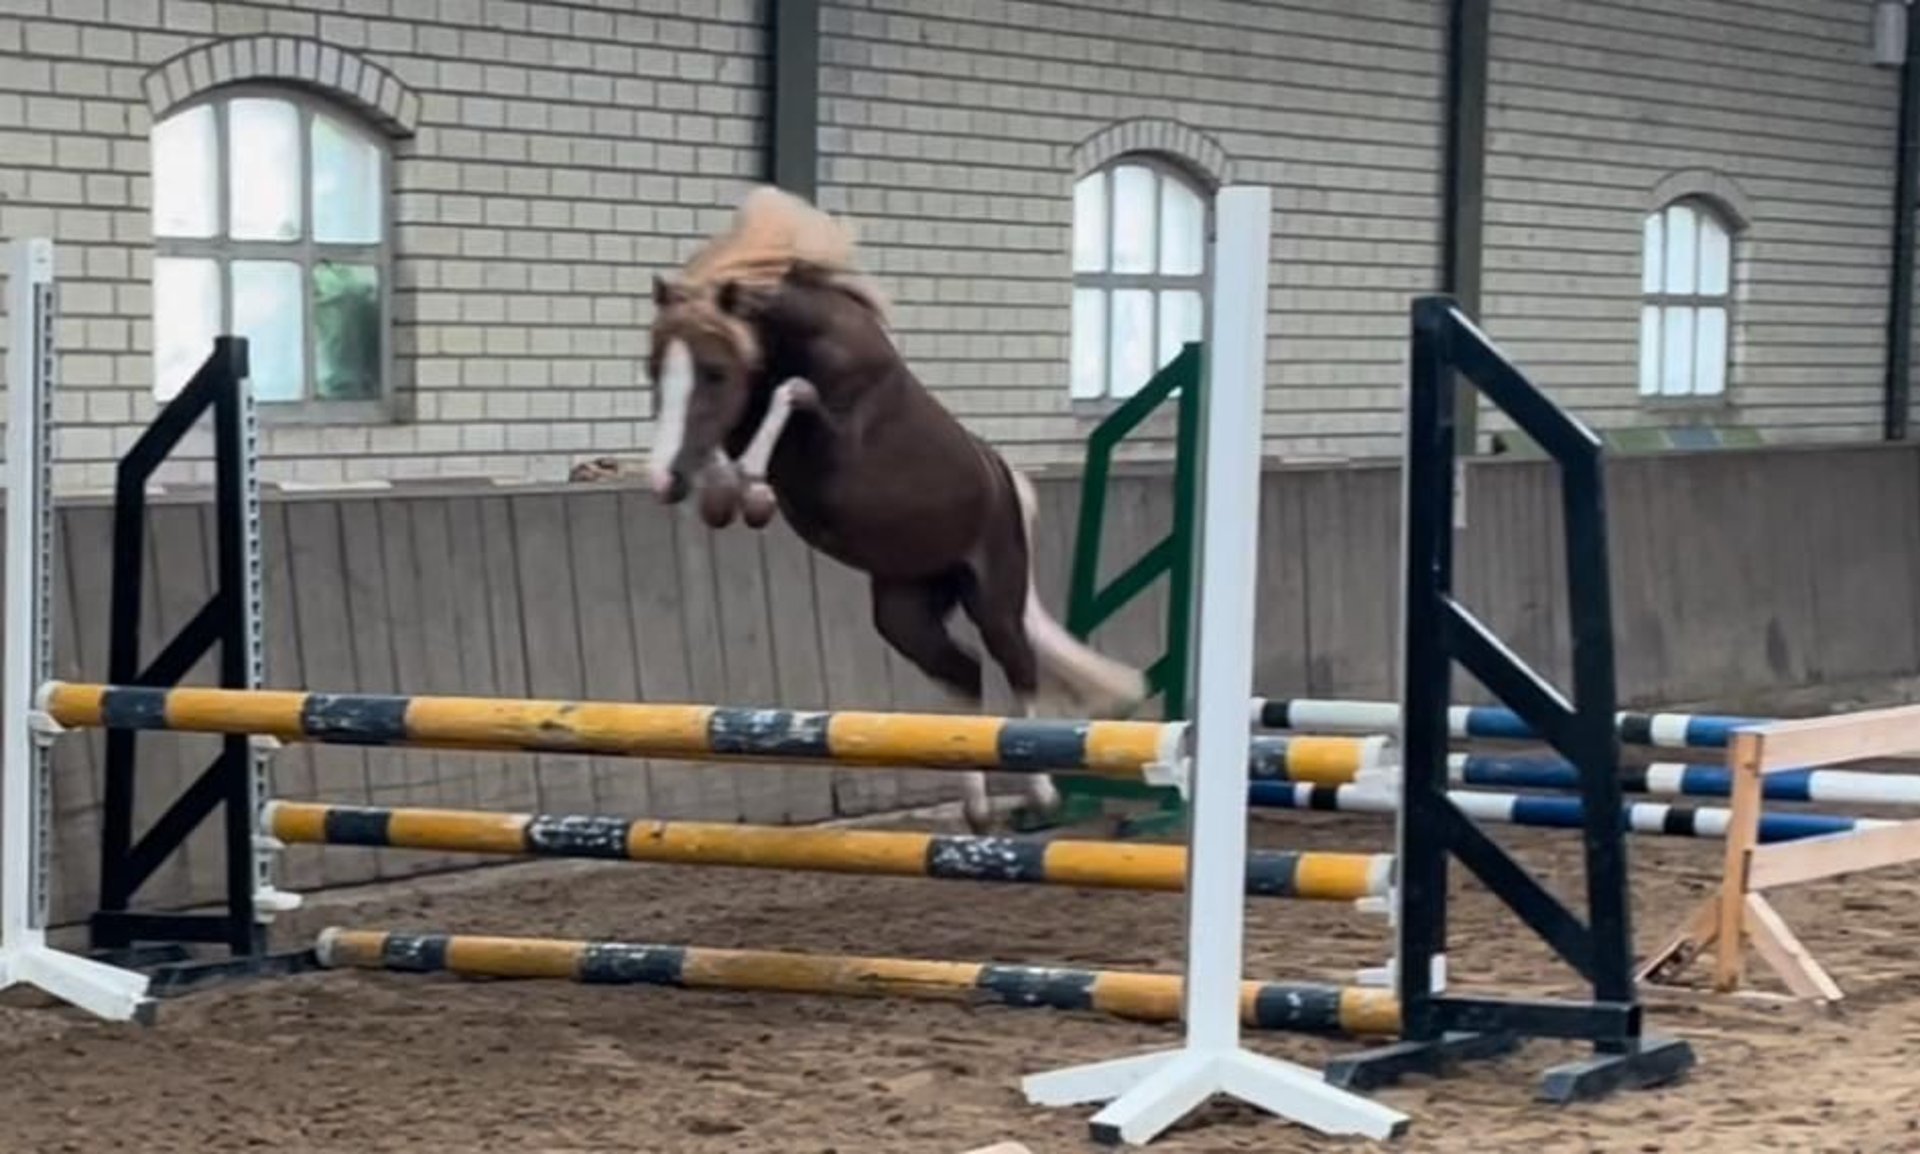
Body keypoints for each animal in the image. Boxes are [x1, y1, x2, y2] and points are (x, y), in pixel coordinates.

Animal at [642, 186, 1149, 833]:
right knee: (965, 674)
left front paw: (750, 491)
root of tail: (1006, 481)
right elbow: (728, 446)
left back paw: (1040, 796)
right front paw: (723, 494)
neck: (804, 342)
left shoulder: (831, 437)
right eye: (655, 370)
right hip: (904, 611)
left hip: (993, 597)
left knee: (1017, 669)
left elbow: (792, 395)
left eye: (714, 372)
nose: (661, 480)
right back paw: (977, 809)